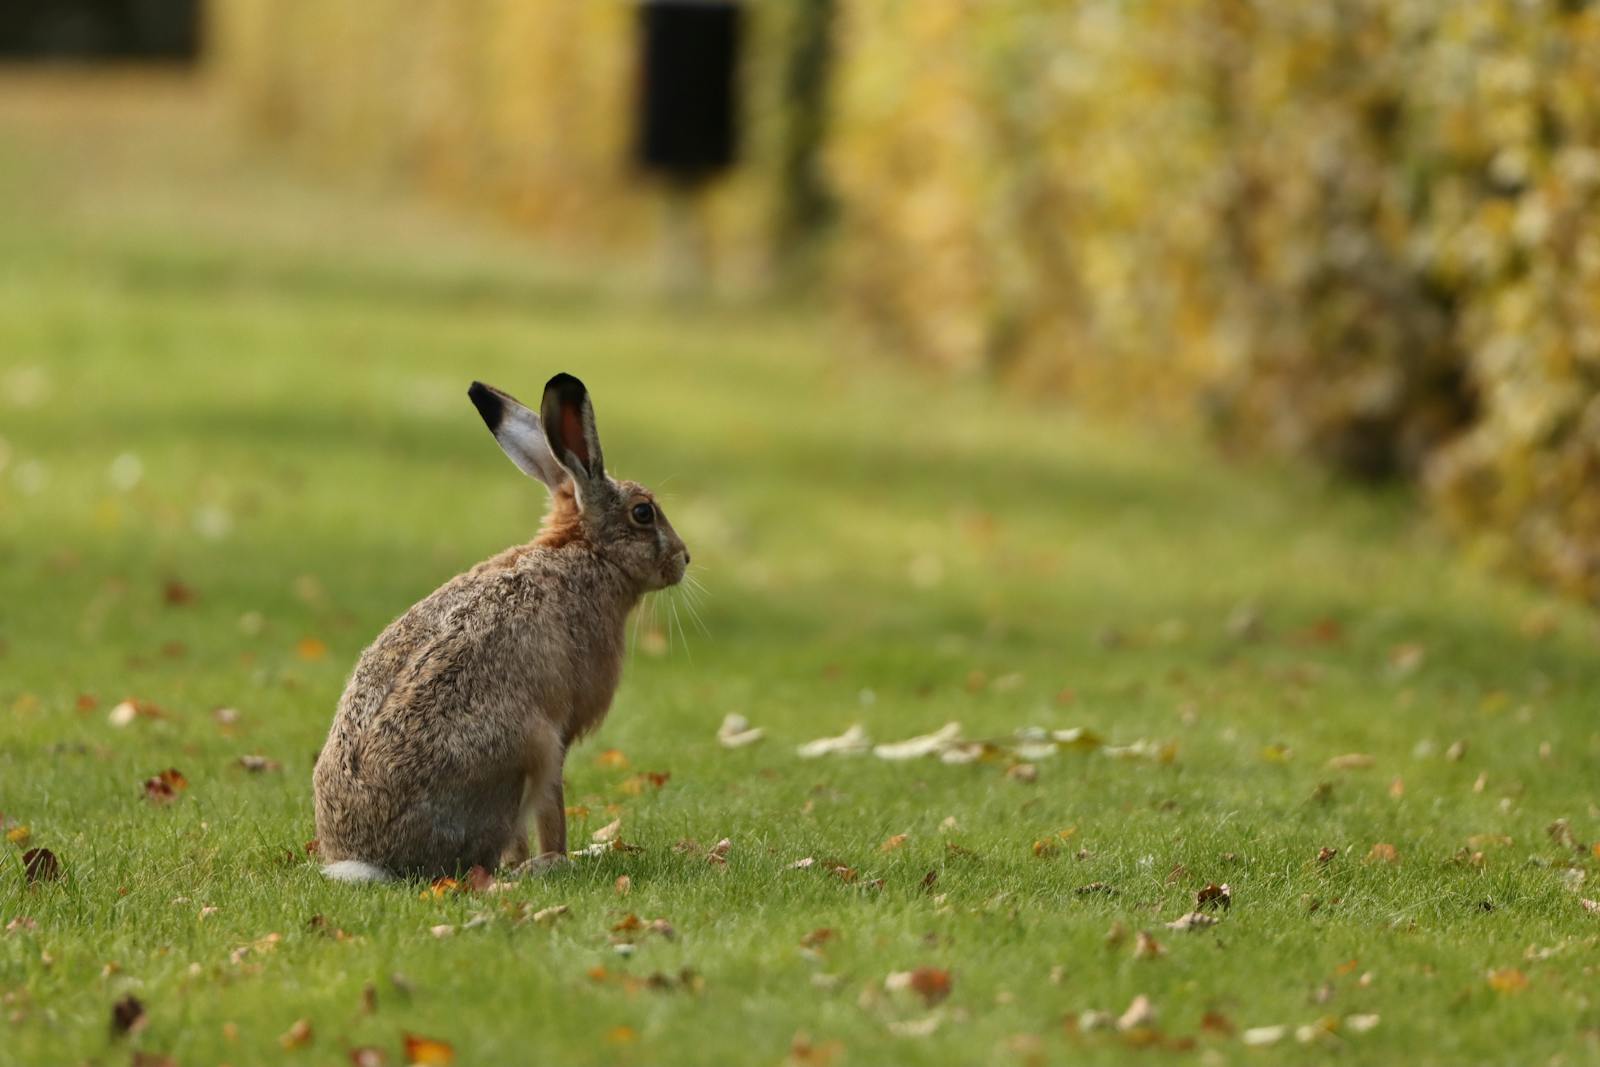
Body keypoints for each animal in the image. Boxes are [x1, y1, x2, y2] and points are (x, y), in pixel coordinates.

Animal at [312, 373, 689, 882]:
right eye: (643, 512)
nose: (684, 559)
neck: (588, 552)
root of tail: (371, 860)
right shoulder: (559, 733)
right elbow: (553, 805)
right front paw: (559, 854)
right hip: (526, 748)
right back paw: (542, 866)